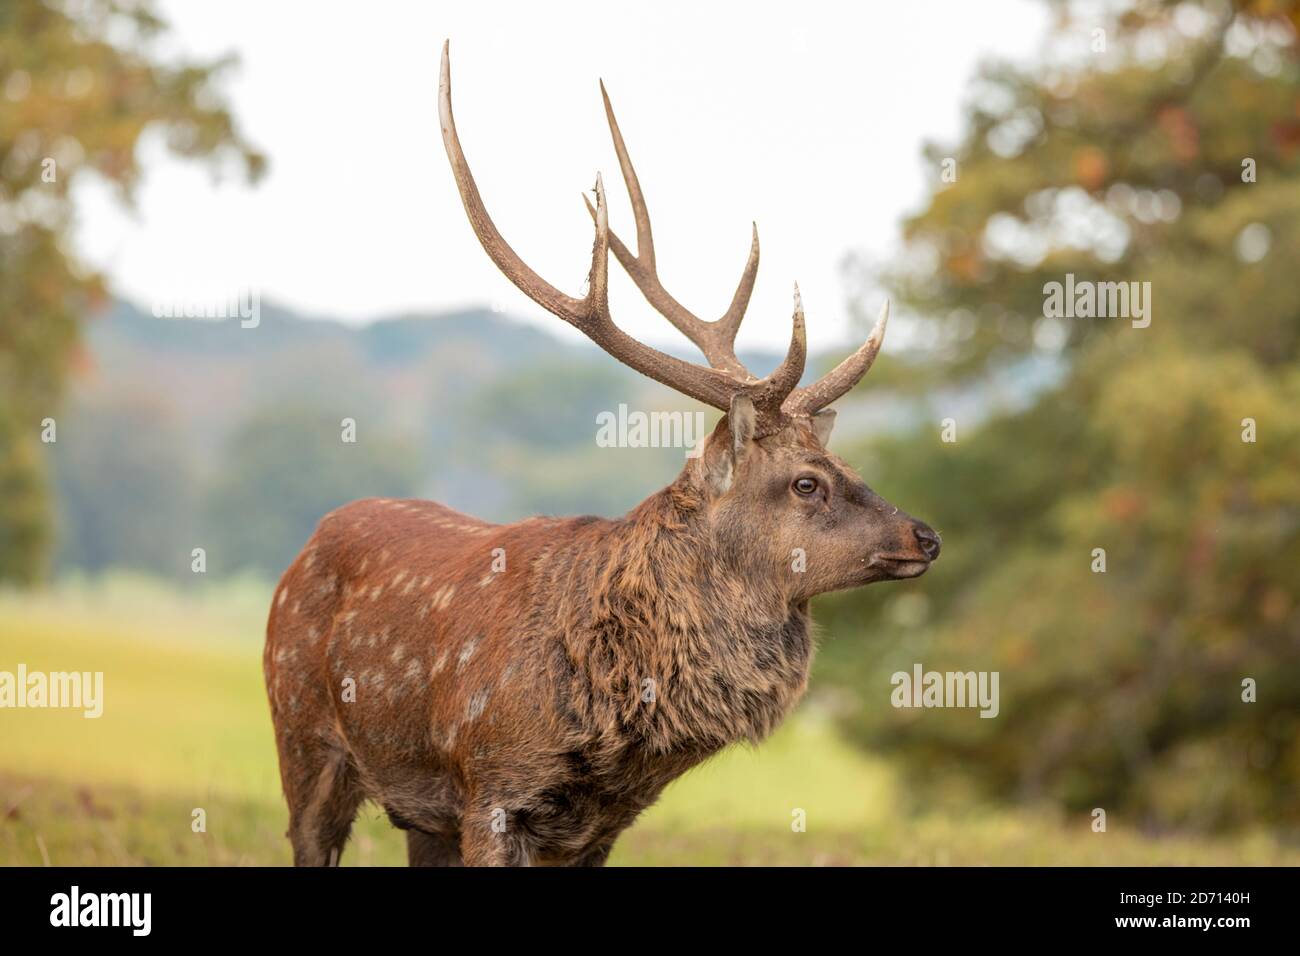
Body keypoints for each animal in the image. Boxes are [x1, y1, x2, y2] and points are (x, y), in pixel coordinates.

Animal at [263, 41, 941, 867]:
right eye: (807, 483)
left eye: (849, 467)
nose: (925, 536)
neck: (616, 723)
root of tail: (302, 550)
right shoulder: (491, 787)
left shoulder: (600, 824)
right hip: (302, 737)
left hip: (419, 813)